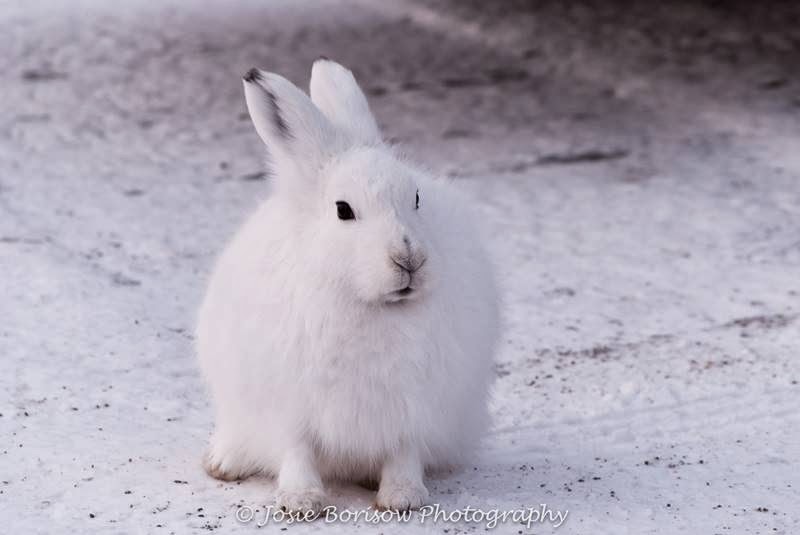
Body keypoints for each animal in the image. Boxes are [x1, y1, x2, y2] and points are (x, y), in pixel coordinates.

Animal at [196, 58, 500, 514]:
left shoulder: (416, 408)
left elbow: (404, 451)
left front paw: (402, 497)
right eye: (343, 210)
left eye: (415, 198)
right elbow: (297, 450)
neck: (366, 301)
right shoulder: (290, 406)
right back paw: (222, 463)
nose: (409, 260)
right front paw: (301, 501)